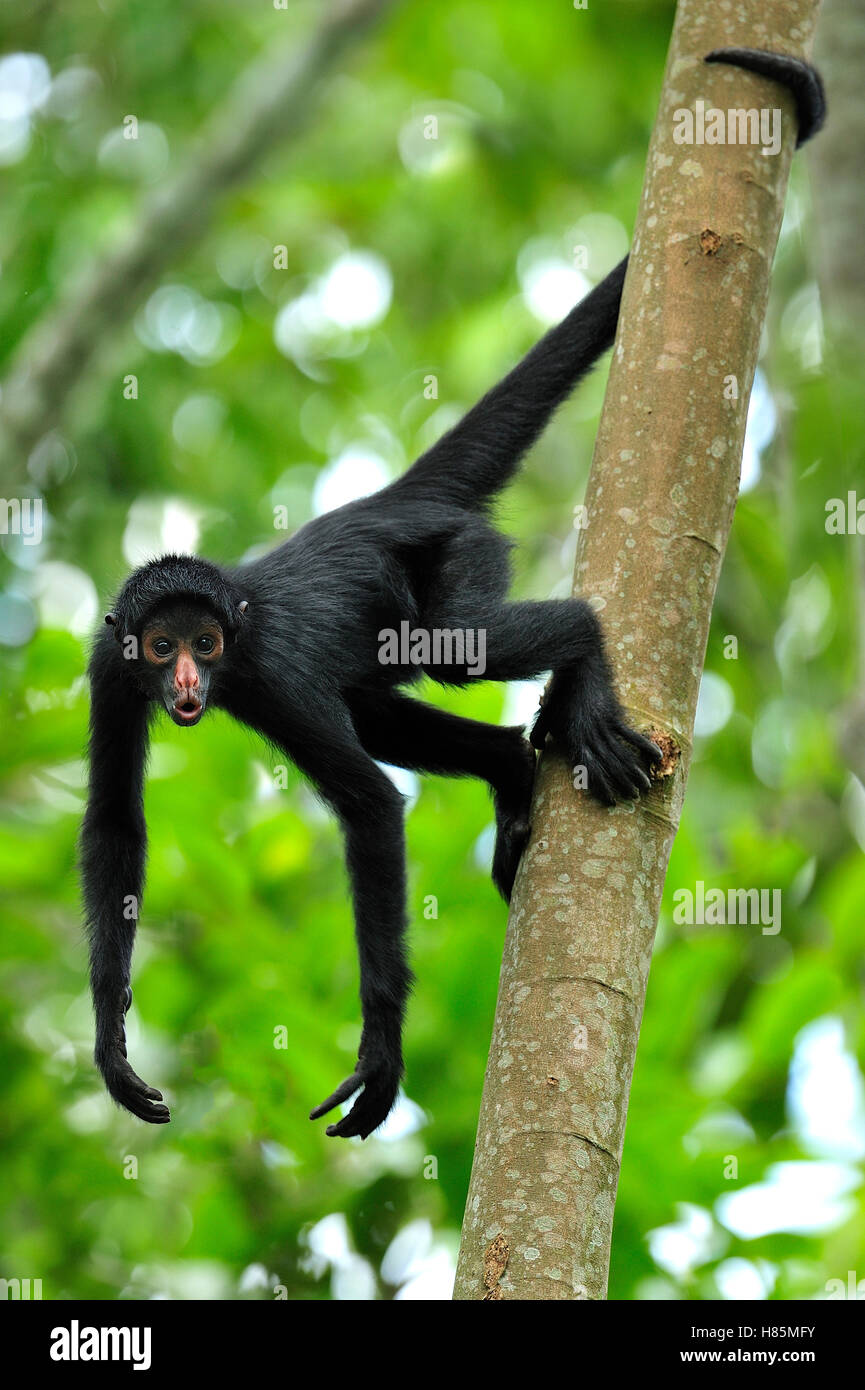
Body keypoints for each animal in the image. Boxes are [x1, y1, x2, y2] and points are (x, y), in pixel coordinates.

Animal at [81, 50, 824, 1139]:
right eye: (160, 646)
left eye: (207, 646)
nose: (183, 682)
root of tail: (392, 499)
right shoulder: (107, 659)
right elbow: (113, 829)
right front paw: (112, 1048)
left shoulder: (271, 672)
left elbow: (369, 807)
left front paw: (379, 1058)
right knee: (390, 710)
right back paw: (512, 771)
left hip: (459, 553)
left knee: (459, 650)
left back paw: (580, 659)